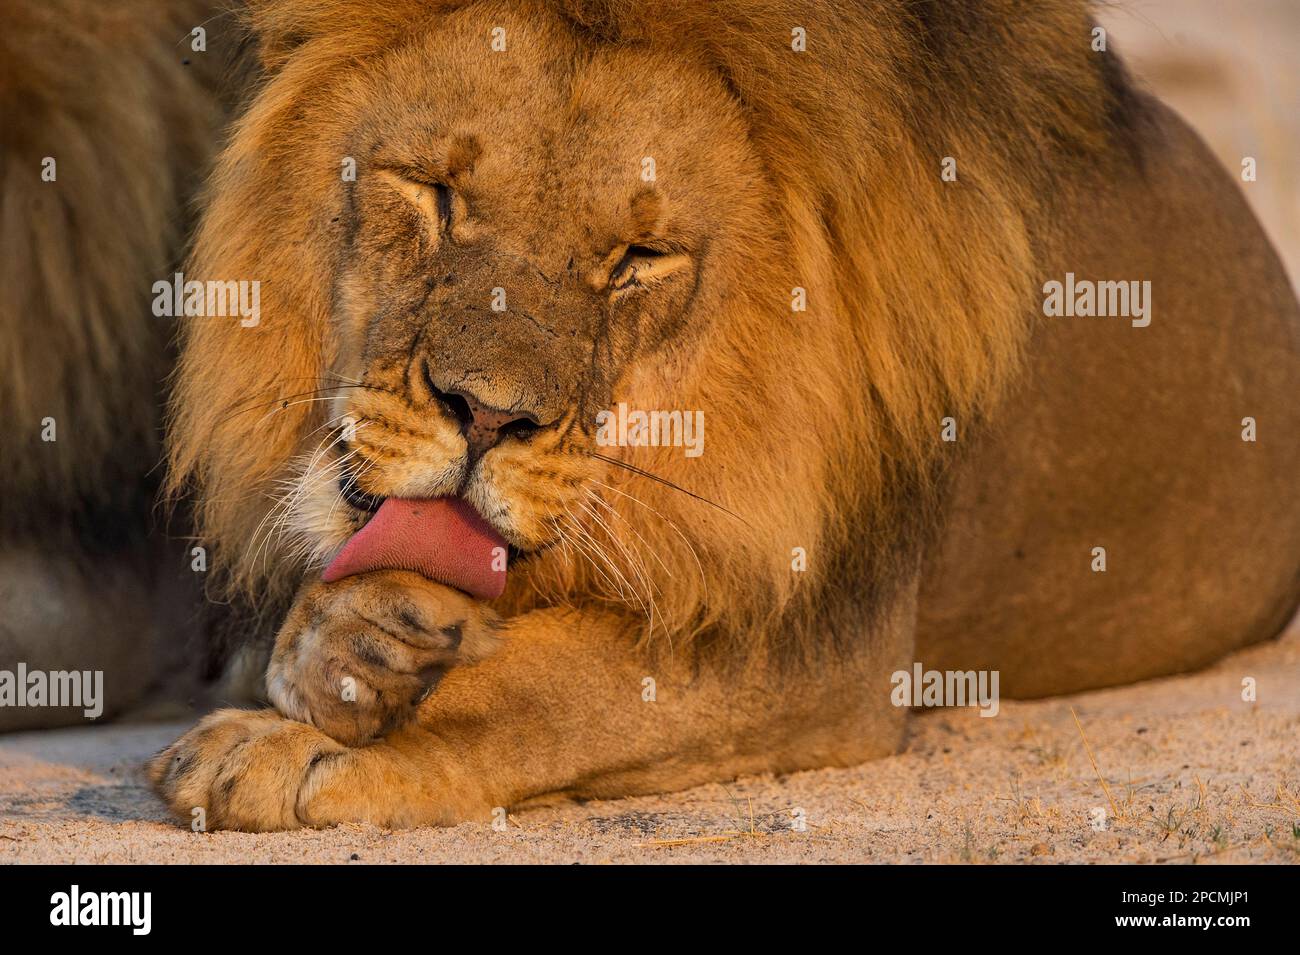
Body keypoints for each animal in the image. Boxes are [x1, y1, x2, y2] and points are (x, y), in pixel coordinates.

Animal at [141, 0, 1300, 831]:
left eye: (637, 260)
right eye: (433, 192)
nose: (485, 414)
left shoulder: (831, 636)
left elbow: (554, 689)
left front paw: (286, 745)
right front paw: (347, 642)